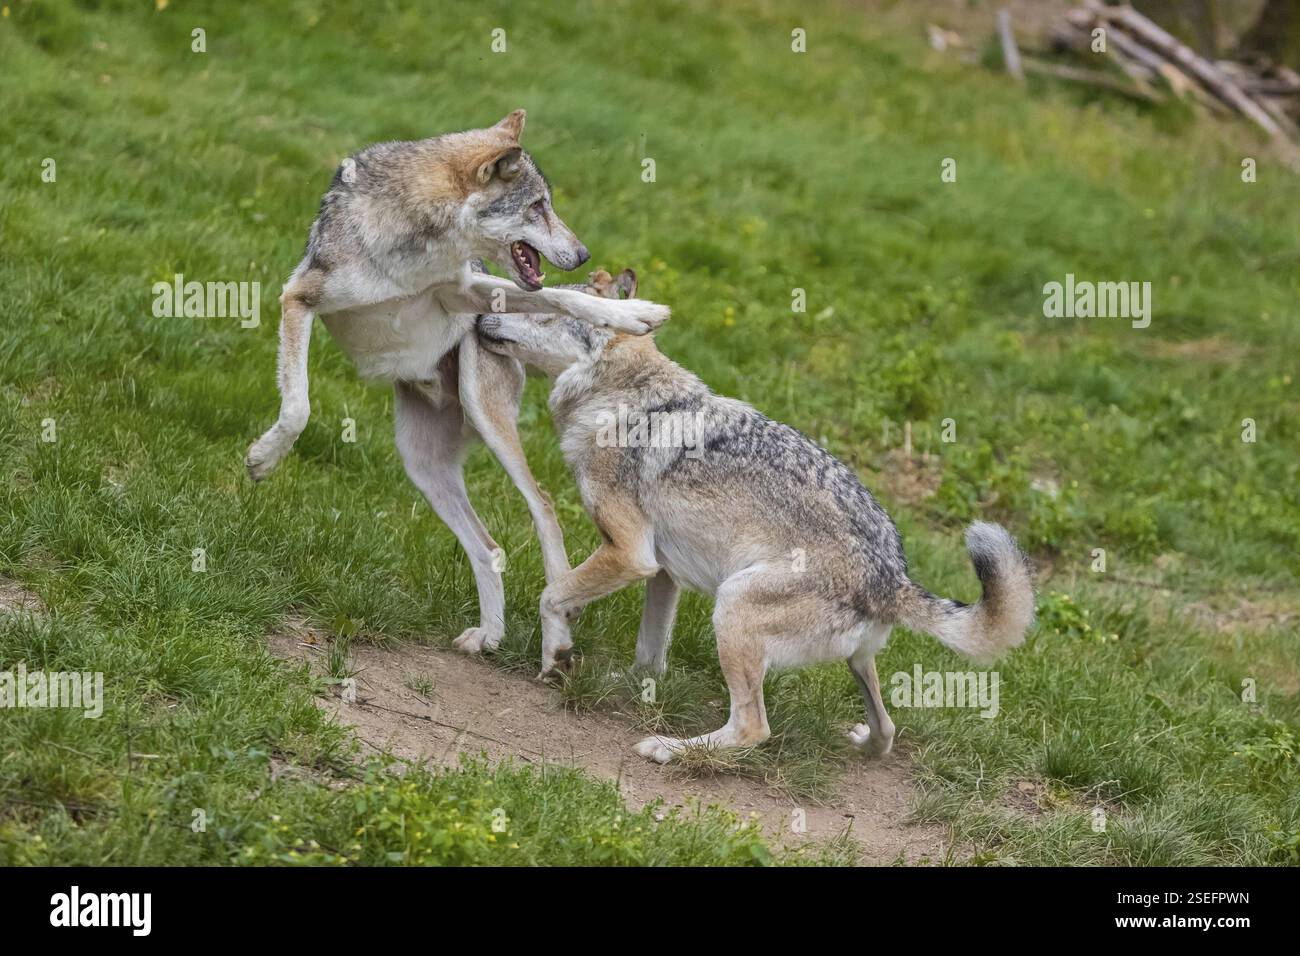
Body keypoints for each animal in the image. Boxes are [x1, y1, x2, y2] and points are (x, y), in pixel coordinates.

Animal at [246, 111, 669, 653]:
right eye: (538, 207)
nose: (583, 253)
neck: (417, 244)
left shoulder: (464, 290)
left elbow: (559, 297)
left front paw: (634, 313)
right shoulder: (298, 299)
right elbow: (298, 406)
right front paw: (264, 459)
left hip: (484, 419)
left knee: (543, 506)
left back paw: (556, 622)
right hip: (422, 465)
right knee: (490, 547)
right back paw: (490, 636)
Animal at [477, 270, 1035, 763]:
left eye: (542, 308)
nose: (480, 313)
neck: (625, 399)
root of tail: (891, 580)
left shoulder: (630, 555)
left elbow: (553, 595)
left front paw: (556, 657)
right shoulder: (663, 573)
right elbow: (649, 654)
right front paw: (635, 686)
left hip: (732, 605)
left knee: (753, 727)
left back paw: (670, 749)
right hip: (853, 660)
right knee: (886, 729)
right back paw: (861, 743)